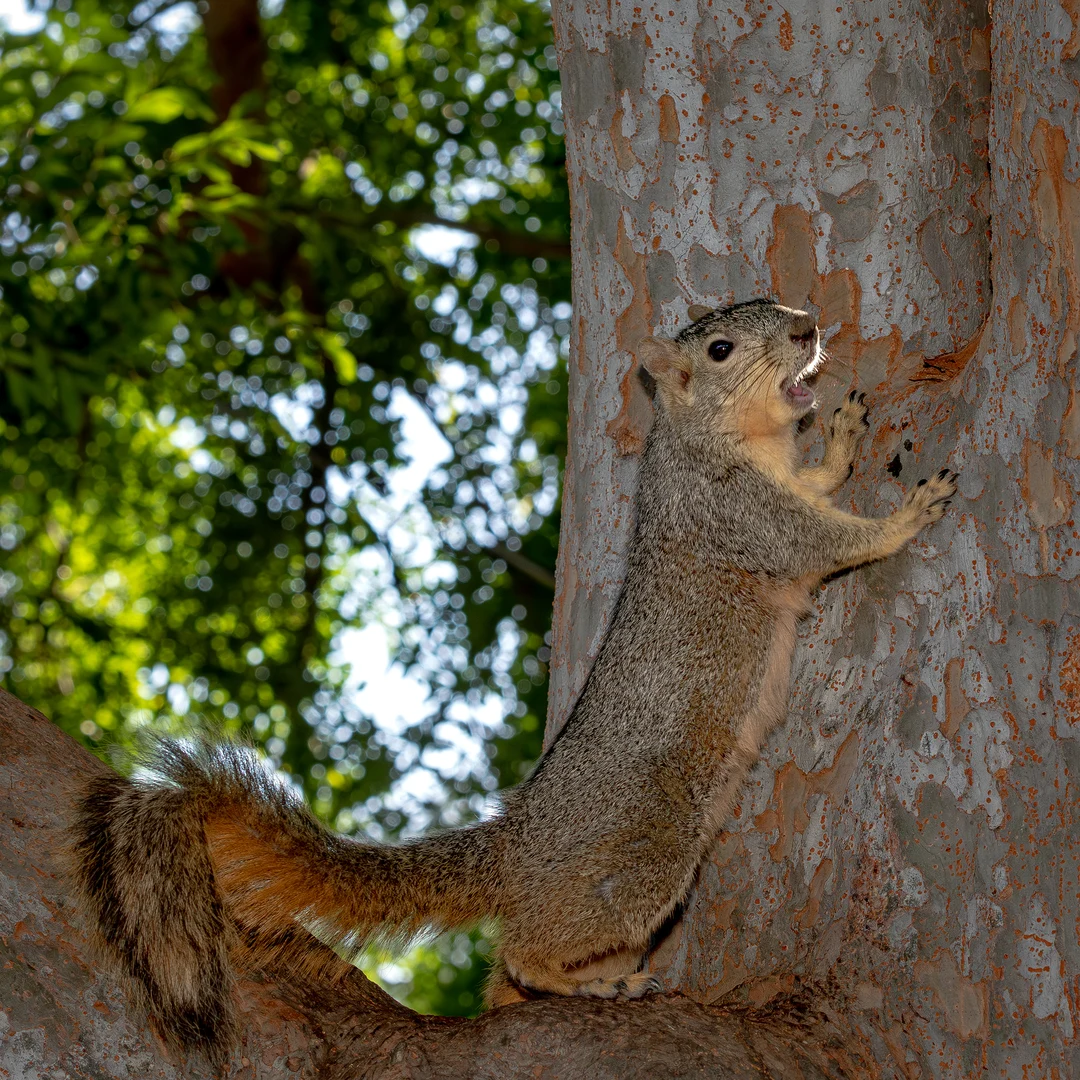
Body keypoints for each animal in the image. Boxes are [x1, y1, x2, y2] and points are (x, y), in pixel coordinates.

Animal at [69, 298, 957, 1063]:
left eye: (773, 303)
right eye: (719, 350)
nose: (808, 327)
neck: (728, 440)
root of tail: (515, 845)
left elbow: (817, 489)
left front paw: (840, 438)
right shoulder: (737, 513)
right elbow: (826, 540)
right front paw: (906, 516)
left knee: (510, 977)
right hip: (646, 852)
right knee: (531, 950)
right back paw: (587, 986)